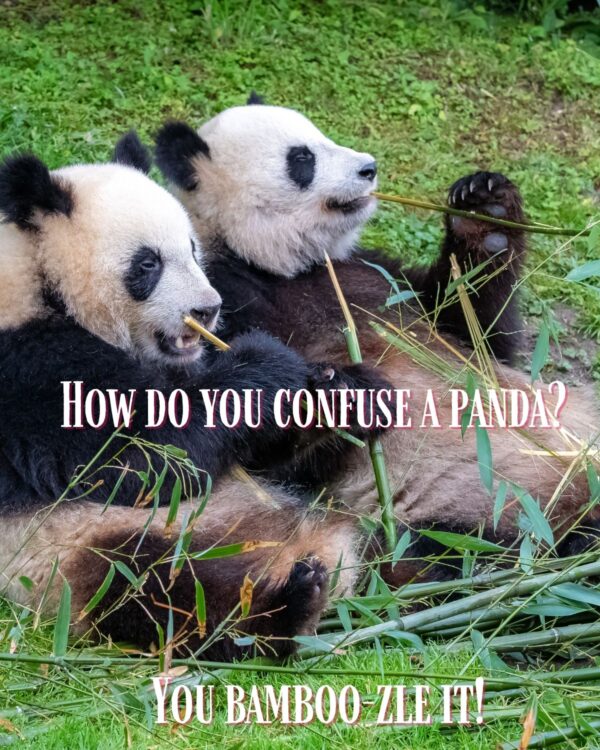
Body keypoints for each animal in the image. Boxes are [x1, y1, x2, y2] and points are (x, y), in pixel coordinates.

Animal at [0, 134, 393, 660]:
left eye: (192, 249)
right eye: (148, 263)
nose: (208, 310)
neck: (39, 281)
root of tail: (320, 548)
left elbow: (249, 451)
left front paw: (345, 393)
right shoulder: (25, 373)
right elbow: (140, 459)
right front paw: (267, 362)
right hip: (72, 553)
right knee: (158, 589)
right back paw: (286, 606)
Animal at [153, 99, 599, 575]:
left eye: (322, 135)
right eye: (302, 159)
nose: (369, 168)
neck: (279, 264)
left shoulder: (381, 278)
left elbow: (478, 330)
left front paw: (486, 213)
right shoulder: (213, 306)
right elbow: (238, 447)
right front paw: (343, 398)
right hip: (468, 523)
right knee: (449, 555)